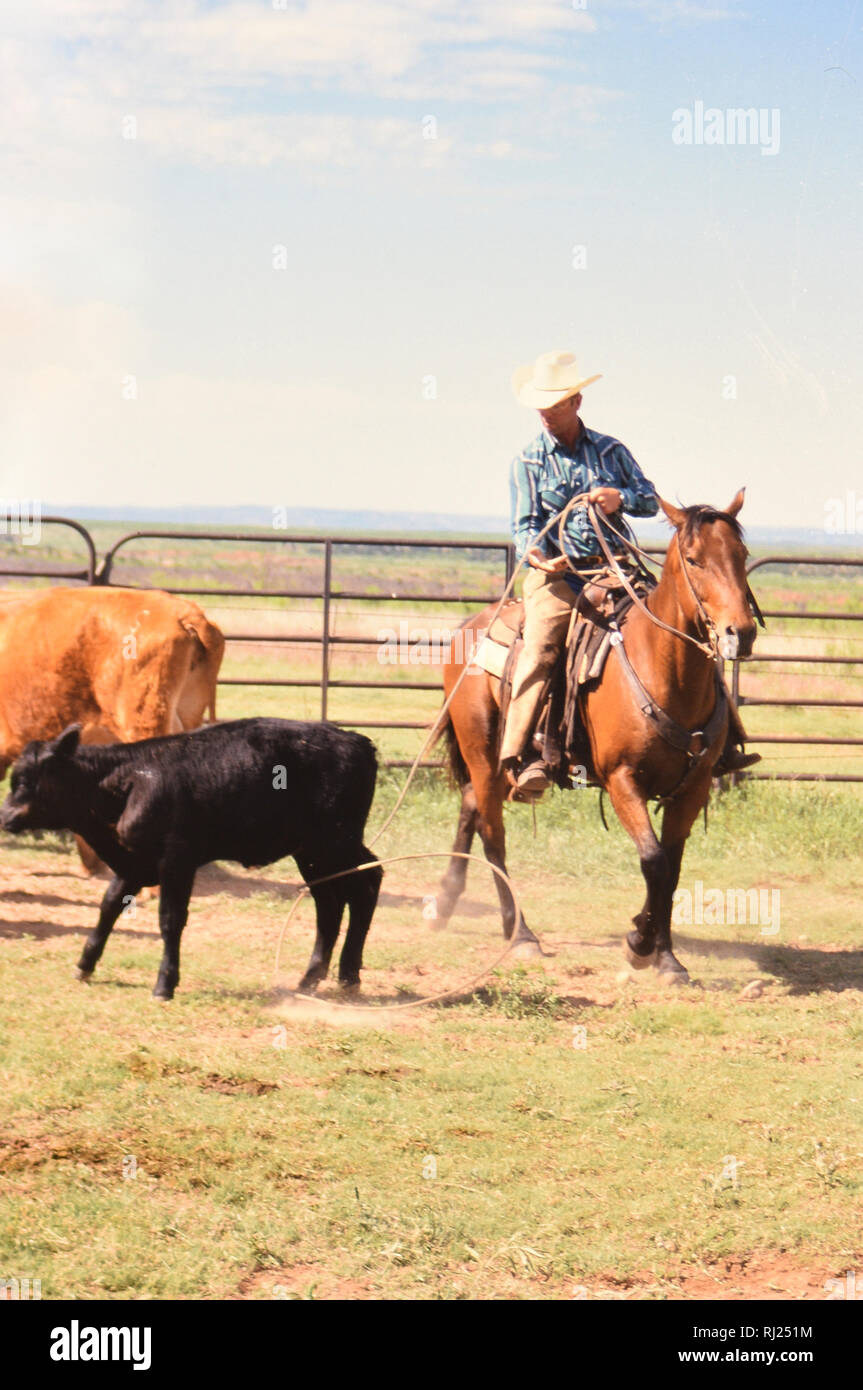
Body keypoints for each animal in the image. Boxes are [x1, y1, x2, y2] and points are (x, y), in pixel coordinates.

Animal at [0, 719, 382, 1000]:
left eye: (26, 782)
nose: (4, 817)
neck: (128, 780)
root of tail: (356, 740)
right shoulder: (135, 863)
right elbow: (108, 906)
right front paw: (85, 963)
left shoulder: (177, 860)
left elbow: (170, 920)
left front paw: (164, 984)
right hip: (314, 853)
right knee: (331, 901)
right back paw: (312, 978)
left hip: (335, 843)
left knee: (364, 885)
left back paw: (348, 974)